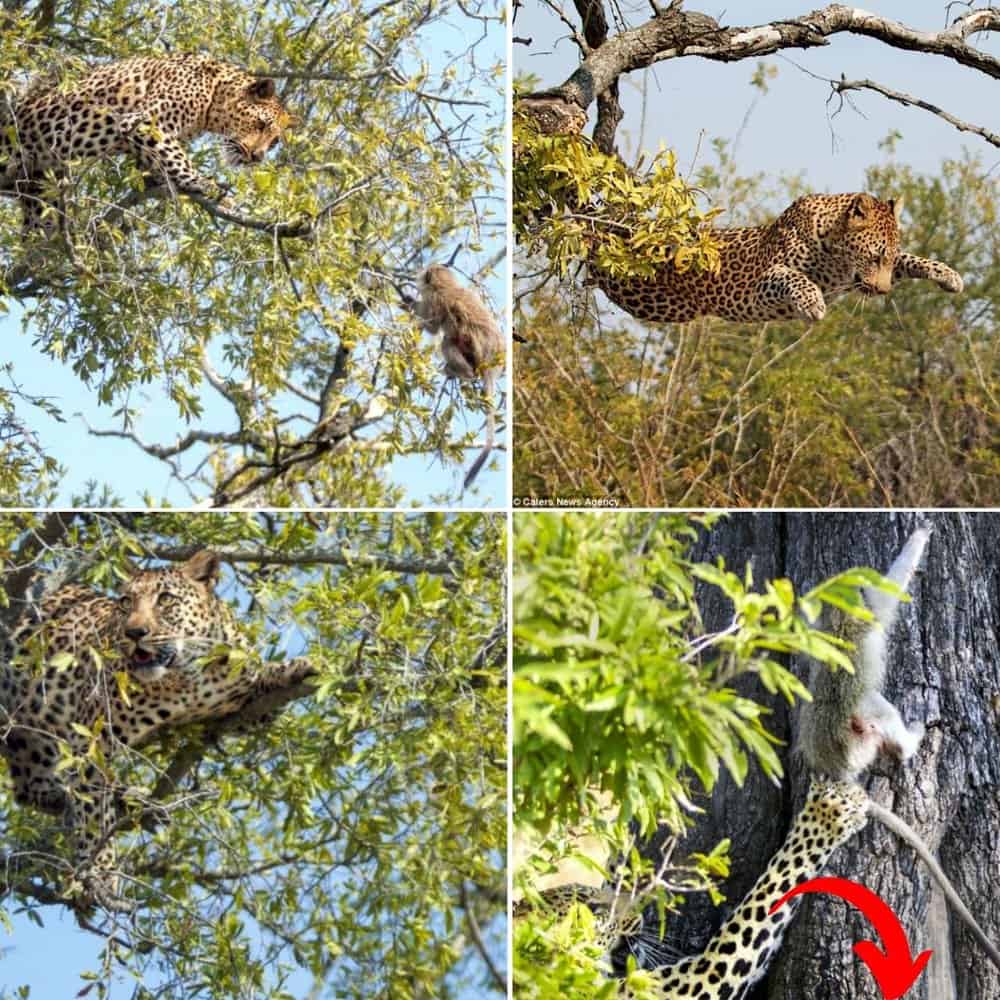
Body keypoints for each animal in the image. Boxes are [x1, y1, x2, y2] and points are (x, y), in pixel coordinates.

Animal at [0, 53, 299, 235]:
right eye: (261, 125)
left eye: (274, 142)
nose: (257, 157)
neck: (214, 96)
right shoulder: (148, 122)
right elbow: (178, 159)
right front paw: (206, 184)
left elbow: (159, 161)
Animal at [0, 550, 316, 905]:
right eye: (126, 602)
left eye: (165, 599)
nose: (135, 632)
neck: (187, 676)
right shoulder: (94, 737)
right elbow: (93, 811)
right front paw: (98, 872)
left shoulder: (240, 703)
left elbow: (262, 683)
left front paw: (297, 668)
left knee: (31, 788)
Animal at [409, 264, 504, 490]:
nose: (418, 276)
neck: (446, 285)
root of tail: (491, 365)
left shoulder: (434, 299)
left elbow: (432, 326)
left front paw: (409, 302)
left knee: (447, 340)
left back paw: (463, 373)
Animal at [591, 193, 964, 325]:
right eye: (874, 257)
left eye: (886, 258)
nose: (885, 293)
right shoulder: (757, 287)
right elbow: (792, 277)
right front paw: (813, 304)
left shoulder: (850, 280)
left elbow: (910, 260)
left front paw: (949, 275)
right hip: (637, 291)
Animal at [799, 523, 1000, 973]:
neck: (838, 616)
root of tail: (835, 765)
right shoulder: (867, 612)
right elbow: (889, 592)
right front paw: (919, 537)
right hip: (861, 731)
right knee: (877, 708)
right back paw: (909, 743)